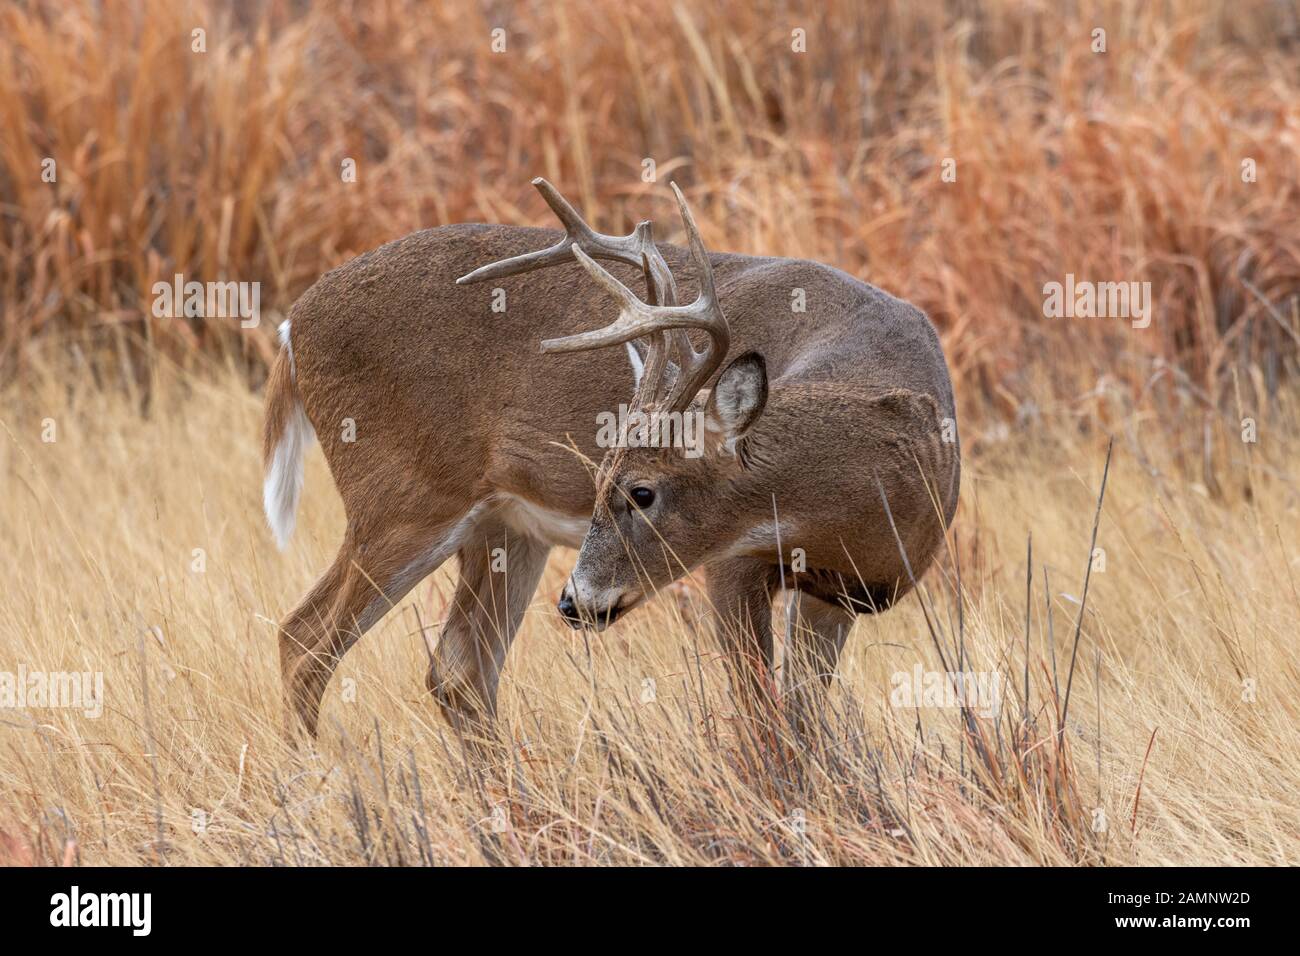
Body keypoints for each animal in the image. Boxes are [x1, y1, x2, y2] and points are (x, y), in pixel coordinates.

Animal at [262, 177, 960, 740]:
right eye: (601, 480)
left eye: (640, 491)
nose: (575, 603)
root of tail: (293, 325)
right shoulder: (732, 566)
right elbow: (763, 714)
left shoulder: (840, 597)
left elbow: (806, 720)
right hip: (402, 496)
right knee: (302, 640)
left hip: (504, 528)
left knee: (457, 671)